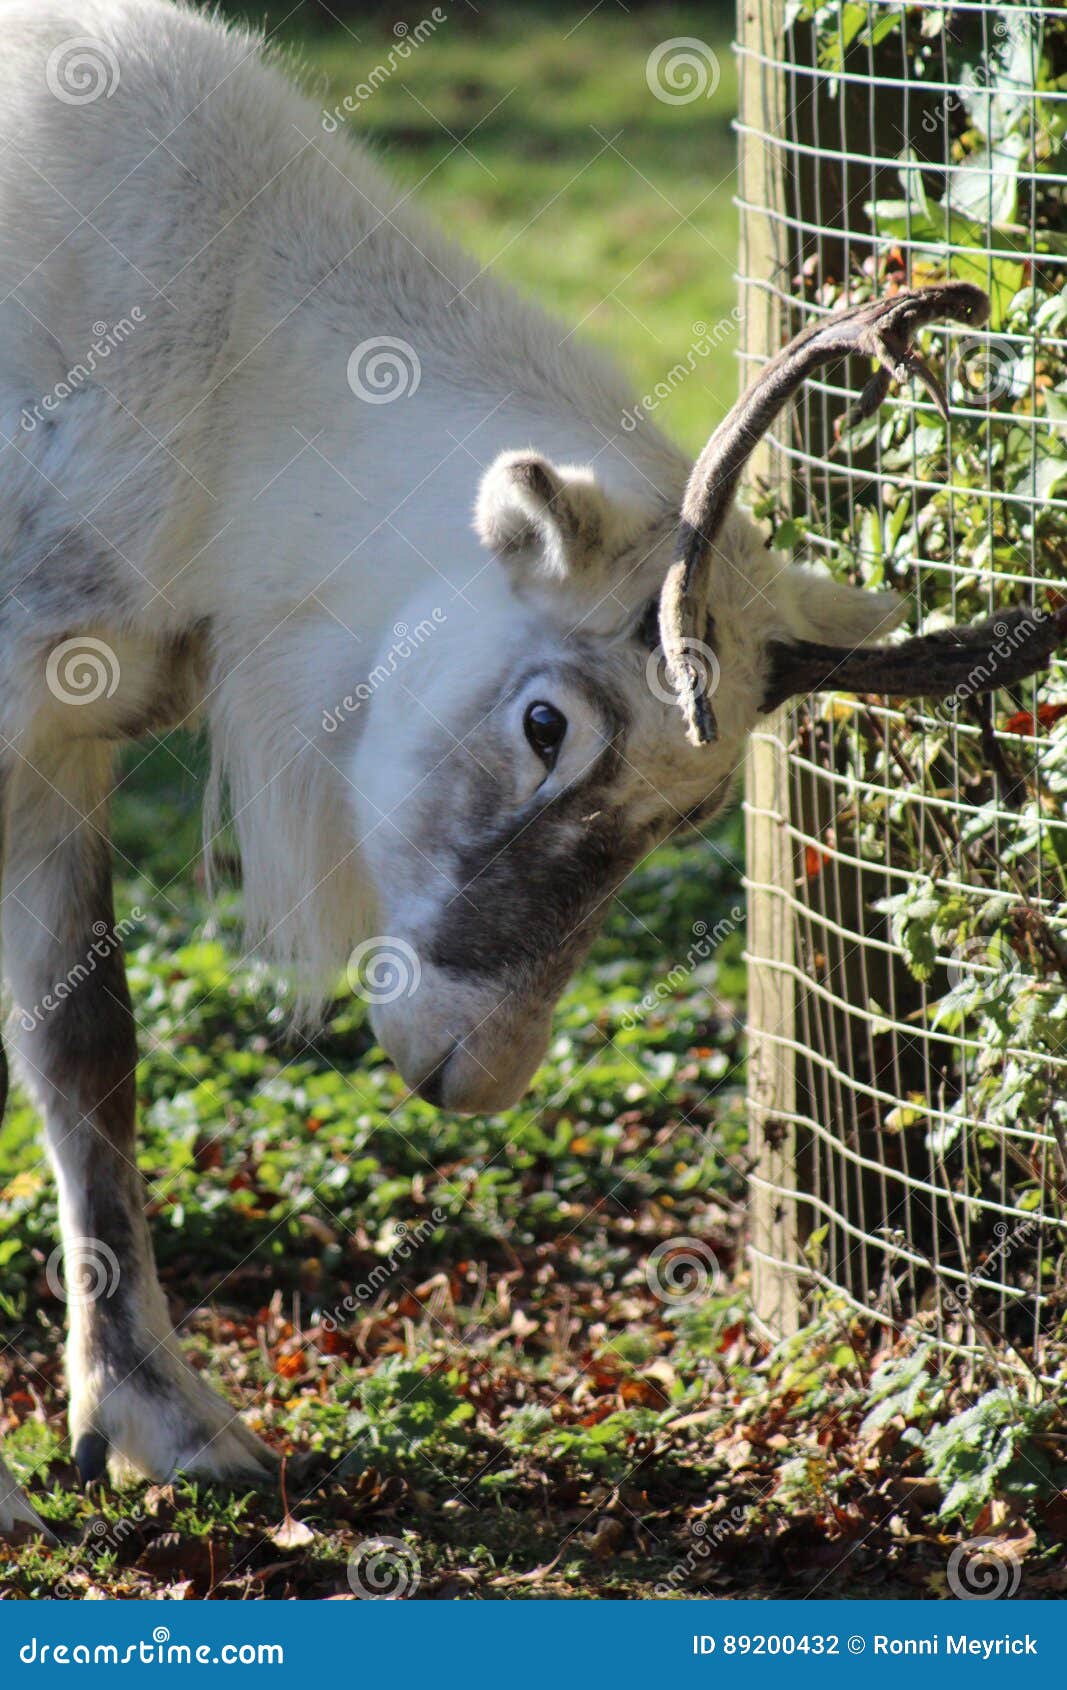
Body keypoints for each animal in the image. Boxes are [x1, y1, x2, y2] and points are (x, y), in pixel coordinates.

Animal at [0, 0, 1063, 1538]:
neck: (230, 404)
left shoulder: (61, 733)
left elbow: (86, 1046)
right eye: (547, 724)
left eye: (692, 808)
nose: (473, 1068)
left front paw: (168, 1425)